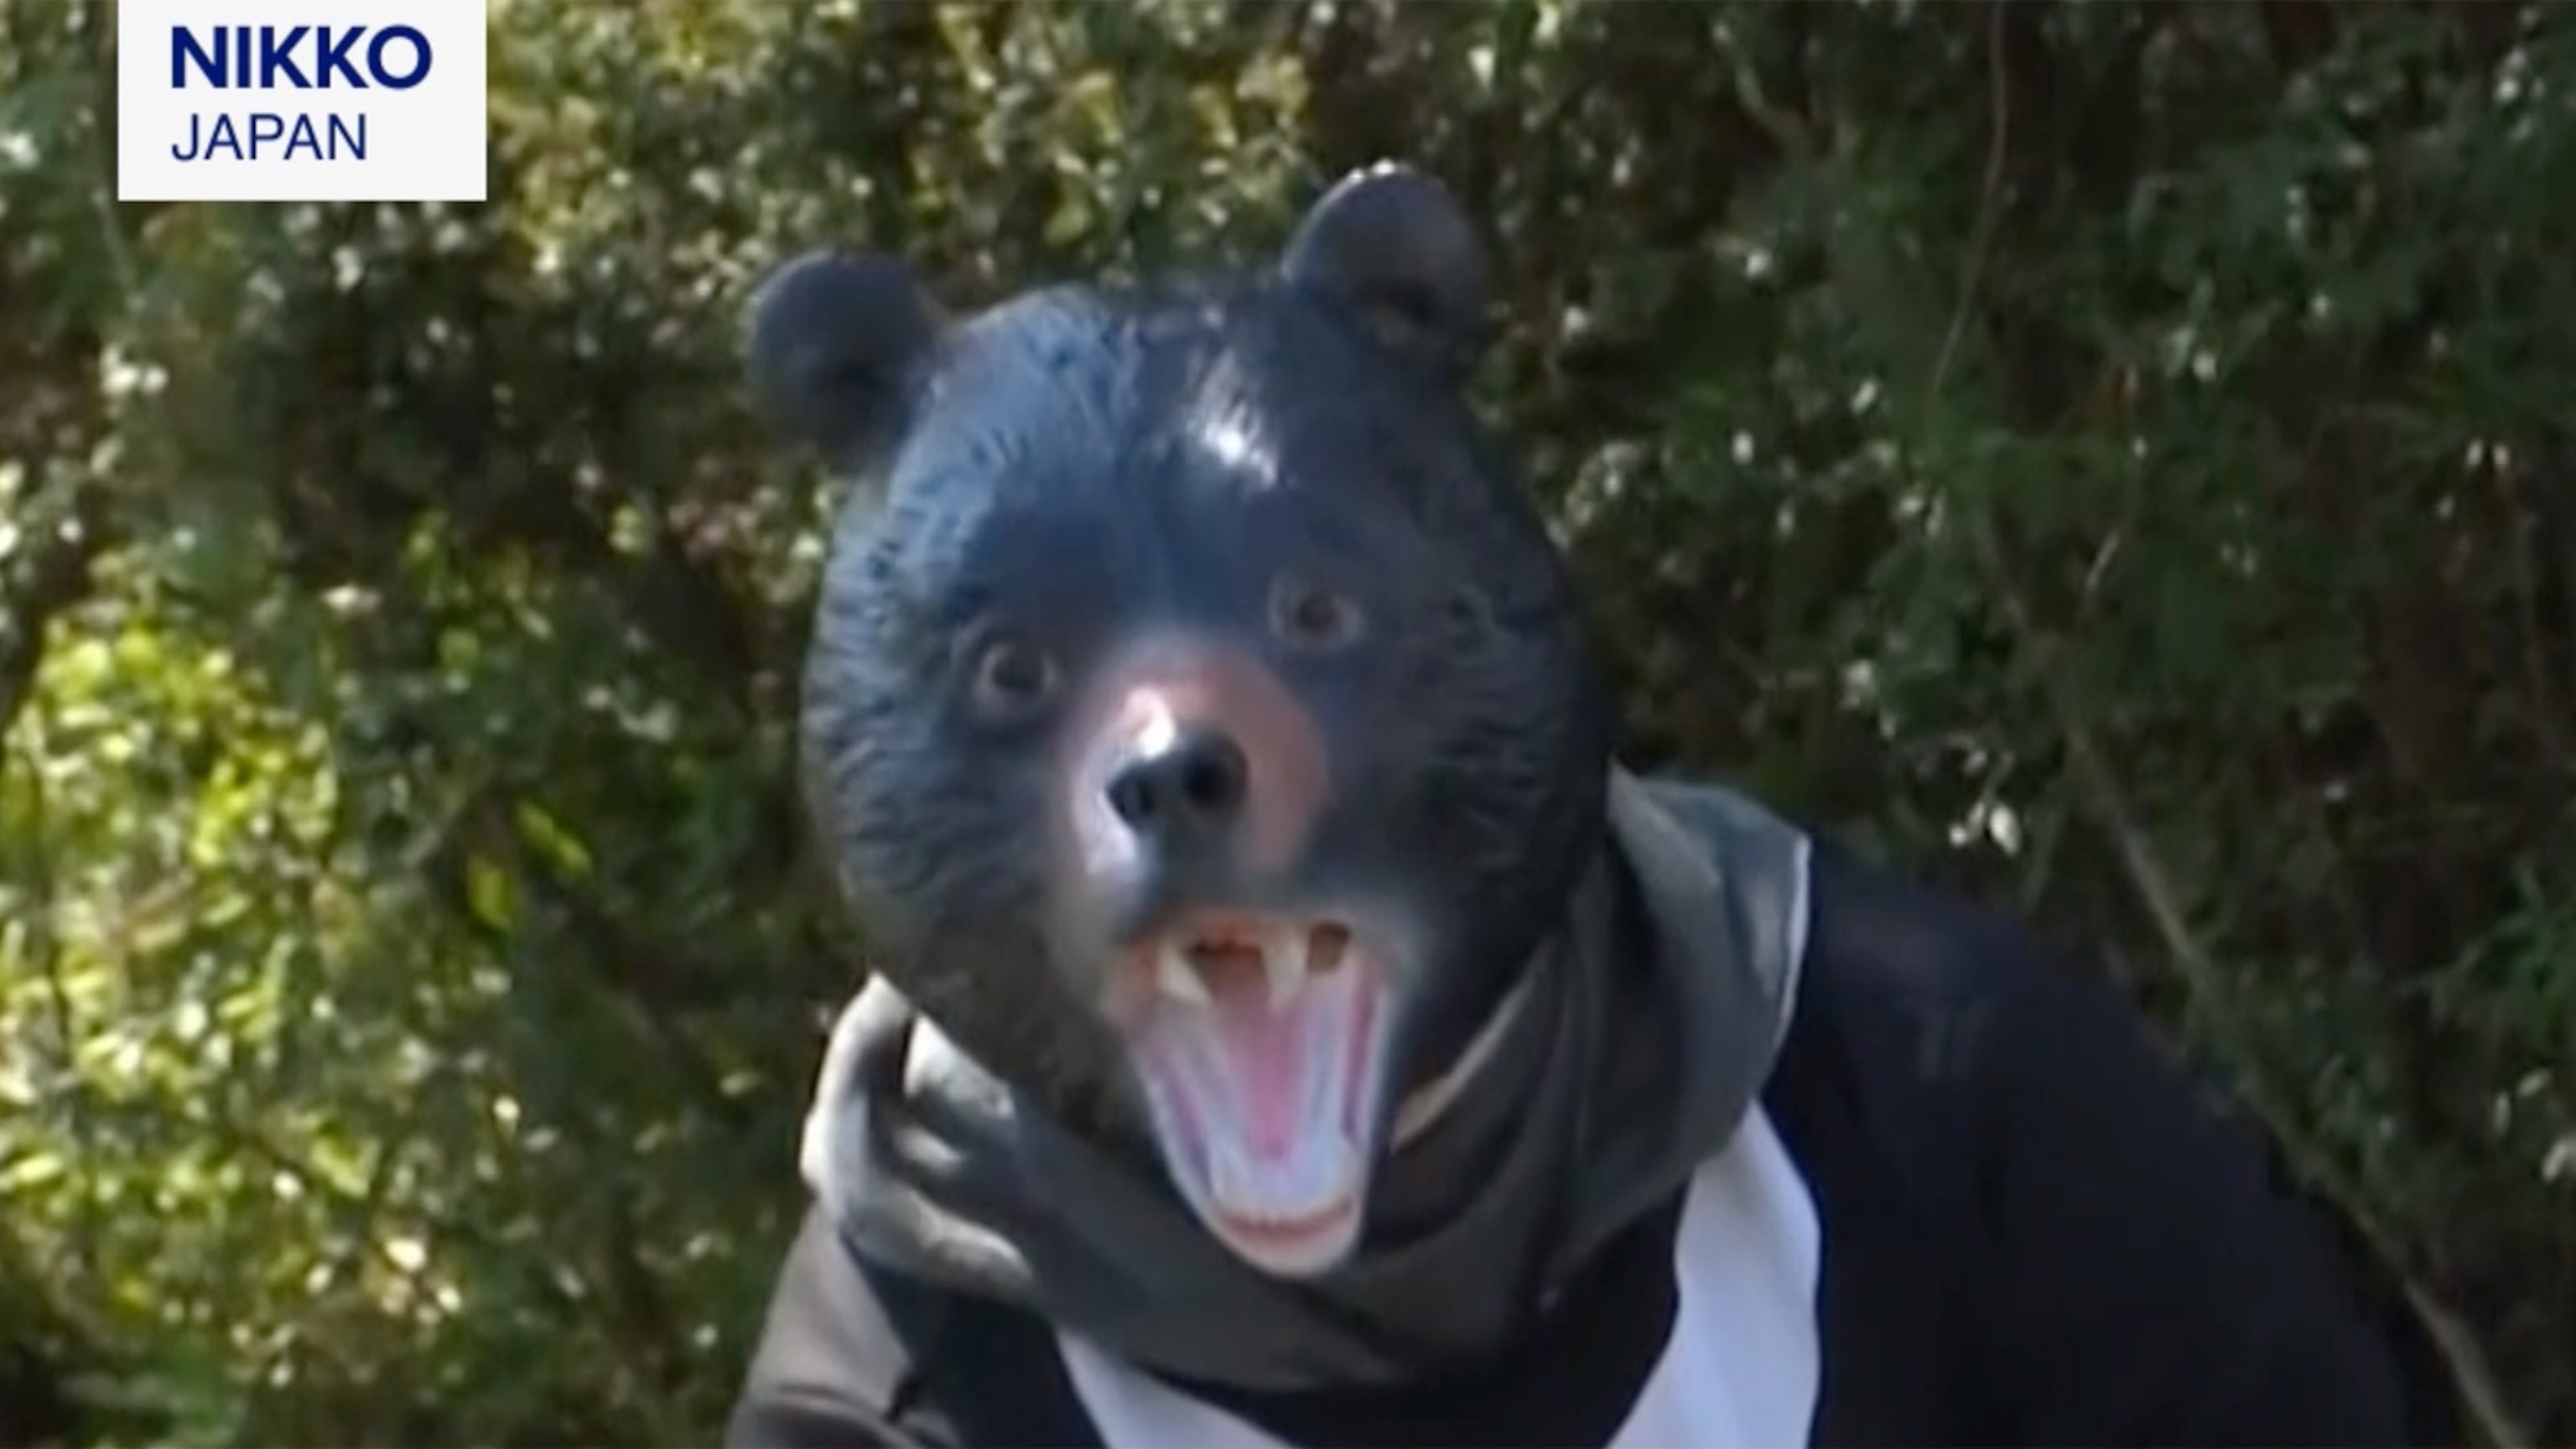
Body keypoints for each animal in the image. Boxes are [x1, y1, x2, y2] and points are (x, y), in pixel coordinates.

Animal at [723, 164, 2457, 1448]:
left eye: (1316, 603)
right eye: (1009, 663)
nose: (1173, 772)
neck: (1409, 1266)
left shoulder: (2012, 1084)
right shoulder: (864, 1337)